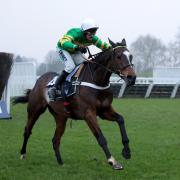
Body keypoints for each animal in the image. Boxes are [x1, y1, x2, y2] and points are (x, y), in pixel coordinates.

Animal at [13, 38, 136, 170]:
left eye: (131, 56)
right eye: (118, 56)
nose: (132, 78)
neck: (96, 80)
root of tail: (38, 82)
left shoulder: (104, 111)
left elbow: (121, 119)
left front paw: (126, 151)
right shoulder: (89, 114)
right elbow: (101, 138)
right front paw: (113, 161)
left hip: (61, 116)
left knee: (55, 140)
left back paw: (60, 162)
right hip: (35, 110)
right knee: (27, 131)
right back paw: (23, 154)